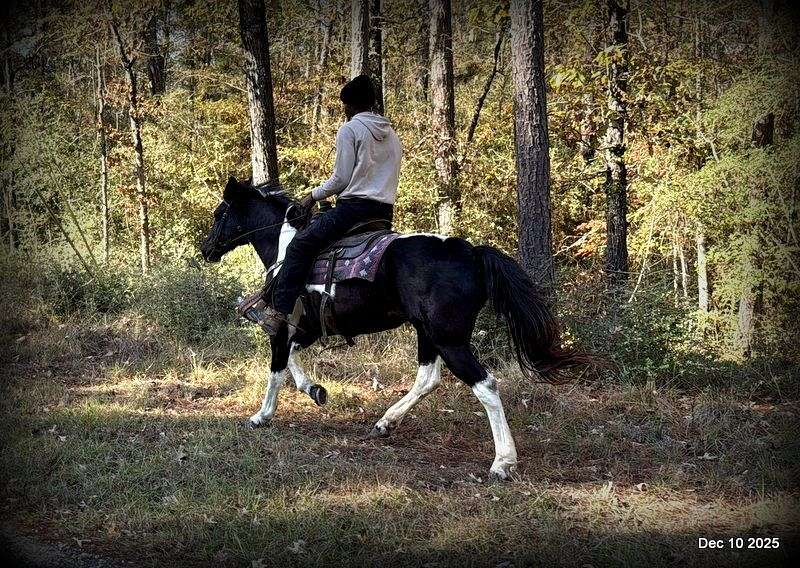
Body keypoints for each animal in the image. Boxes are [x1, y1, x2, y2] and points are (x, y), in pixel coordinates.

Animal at [201, 176, 583, 480]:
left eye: (220, 214)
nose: (206, 249)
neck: (284, 247)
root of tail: (473, 253)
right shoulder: (308, 328)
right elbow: (293, 361)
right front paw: (315, 390)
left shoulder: (283, 324)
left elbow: (277, 368)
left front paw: (261, 415)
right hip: (427, 333)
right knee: (428, 379)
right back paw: (386, 422)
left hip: (449, 339)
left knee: (485, 385)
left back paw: (503, 462)